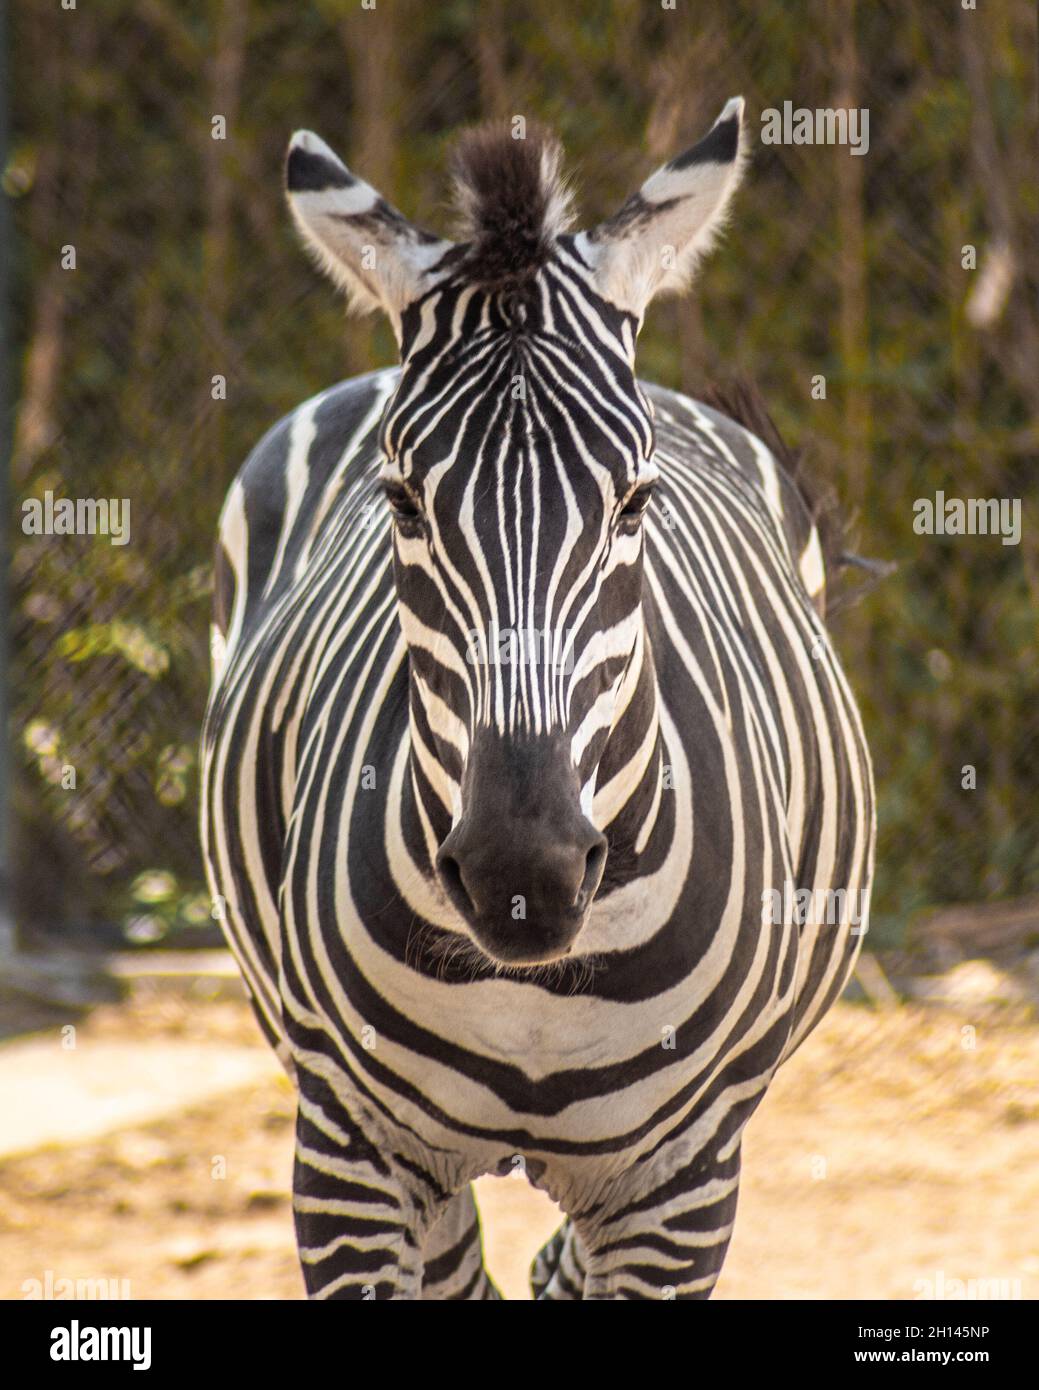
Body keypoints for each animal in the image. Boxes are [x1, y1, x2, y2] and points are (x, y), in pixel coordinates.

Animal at [201, 97, 875, 1300]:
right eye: (401, 502)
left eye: (636, 501)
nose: (523, 877)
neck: (539, 996)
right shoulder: (348, 1156)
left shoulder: (679, 1191)